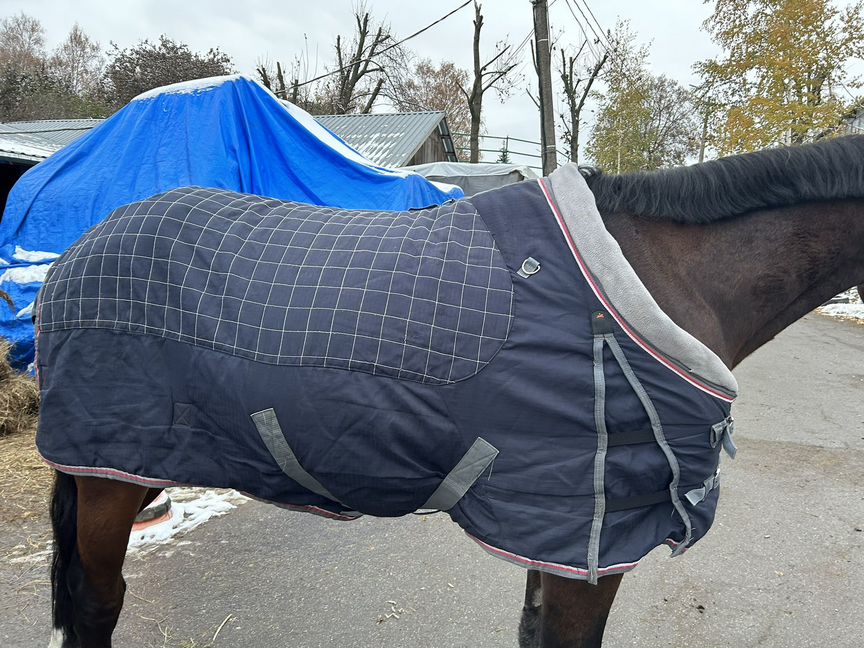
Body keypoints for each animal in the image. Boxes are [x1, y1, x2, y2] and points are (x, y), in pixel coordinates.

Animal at [39, 135, 864, 648]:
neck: (667, 277)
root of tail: (77, 251)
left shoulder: (557, 536)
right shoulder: (592, 544)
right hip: (109, 476)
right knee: (96, 604)